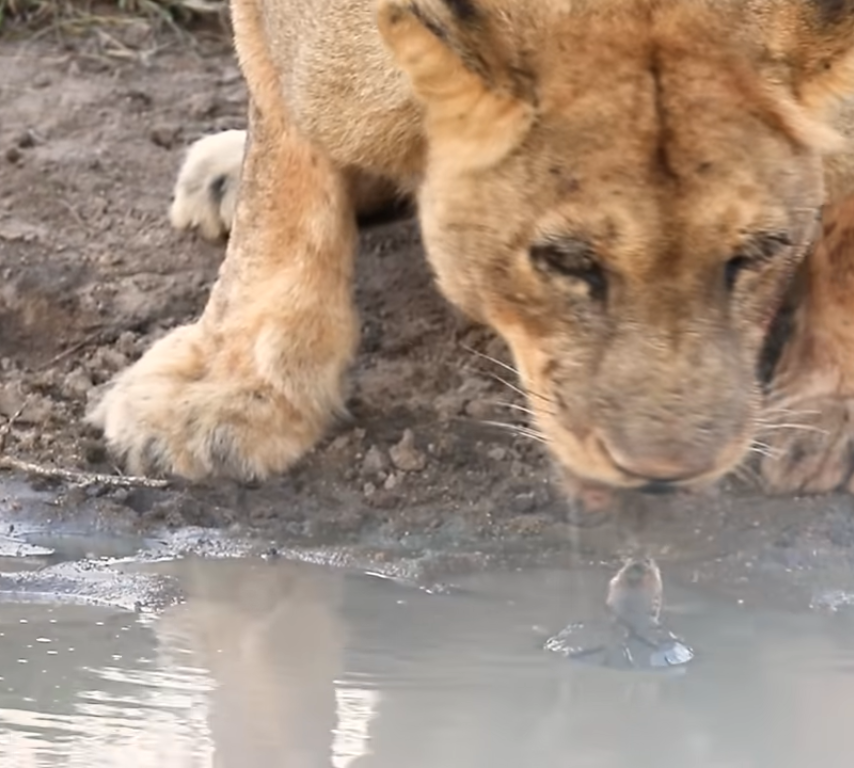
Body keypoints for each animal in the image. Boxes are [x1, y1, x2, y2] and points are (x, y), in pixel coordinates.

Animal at [89, 0, 854, 507]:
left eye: (757, 253)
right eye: (566, 262)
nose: (663, 473)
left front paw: (826, 418)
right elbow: (284, 171)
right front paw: (229, 393)